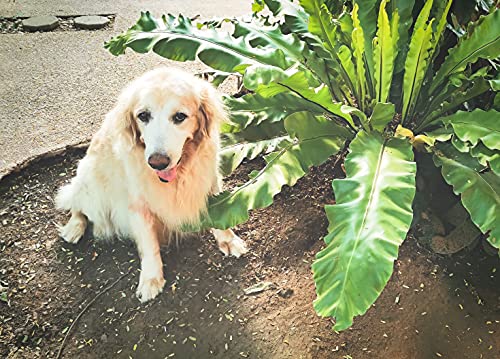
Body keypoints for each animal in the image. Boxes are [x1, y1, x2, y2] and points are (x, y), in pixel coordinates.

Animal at [55, 67, 248, 300]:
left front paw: (228, 240)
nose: (157, 162)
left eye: (180, 116)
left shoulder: (209, 180)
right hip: (92, 185)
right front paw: (151, 279)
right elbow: (149, 245)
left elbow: (220, 216)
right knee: (77, 205)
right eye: (143, 116)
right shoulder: (138, 204)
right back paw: (73, 228)